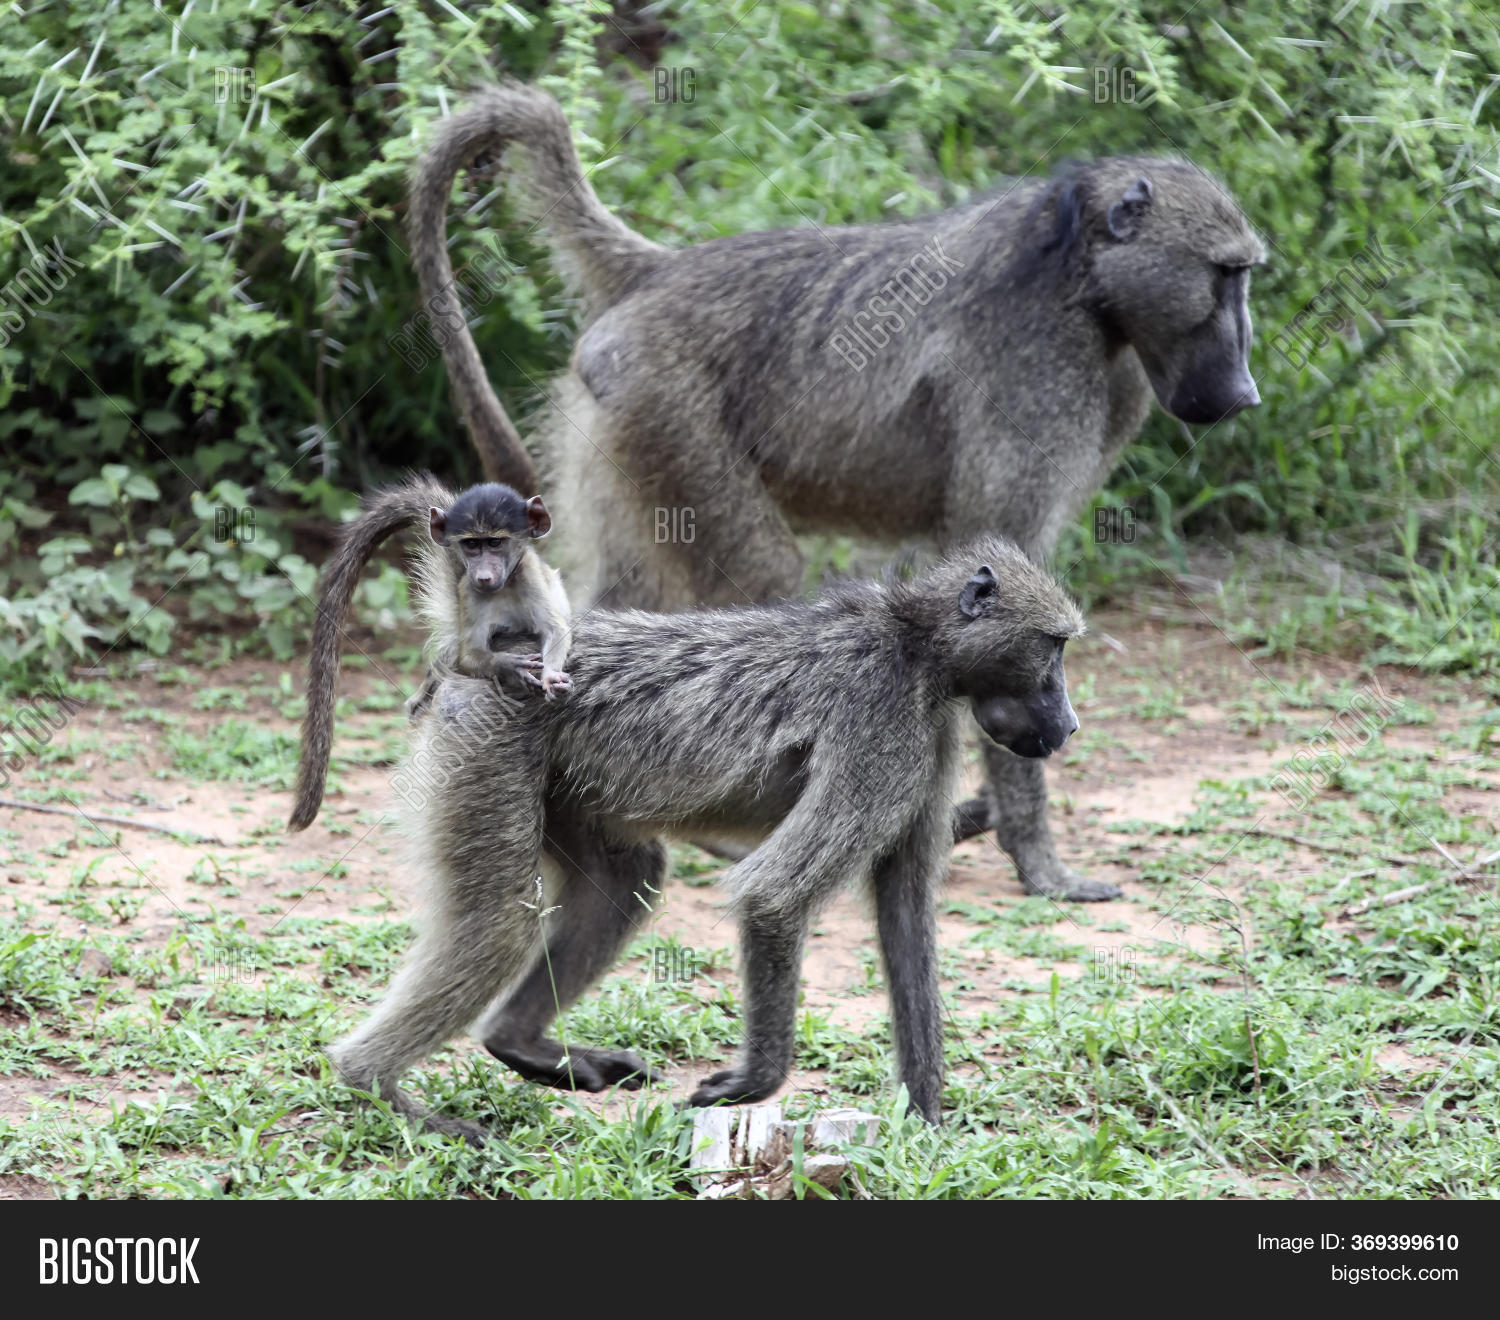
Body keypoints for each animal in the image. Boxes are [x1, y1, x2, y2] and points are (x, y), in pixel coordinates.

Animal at [287, 474, 567, 834]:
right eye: (471, 545)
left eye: (495, 544)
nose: (483, 575)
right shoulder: (467, 592)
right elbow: (469, 657)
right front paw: (509, 668)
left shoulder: (529, 575)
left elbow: (556, 629)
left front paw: (550, 676)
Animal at [299, 527, 1085, 1140]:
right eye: (1053, 648)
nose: (1070, 724)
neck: (917, 643)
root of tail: (487, 655)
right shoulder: (882, 715)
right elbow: (774, 893)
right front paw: (756, 1081)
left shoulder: (929, 737)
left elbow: (905, 910)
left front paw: (923, 1129)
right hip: (487, 744)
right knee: (497, 925)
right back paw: (378, 1087)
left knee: (626, 883)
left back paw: (518, 1045)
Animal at [407, 82, 1265, 903]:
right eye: (1226, 274)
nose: (1245, 392)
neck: (1078, 270)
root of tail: (660, 273)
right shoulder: (1041, 367)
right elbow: (1006, 575)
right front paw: (1041, 864)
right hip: (669, 414)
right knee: (760, 580)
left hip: (622, 435)